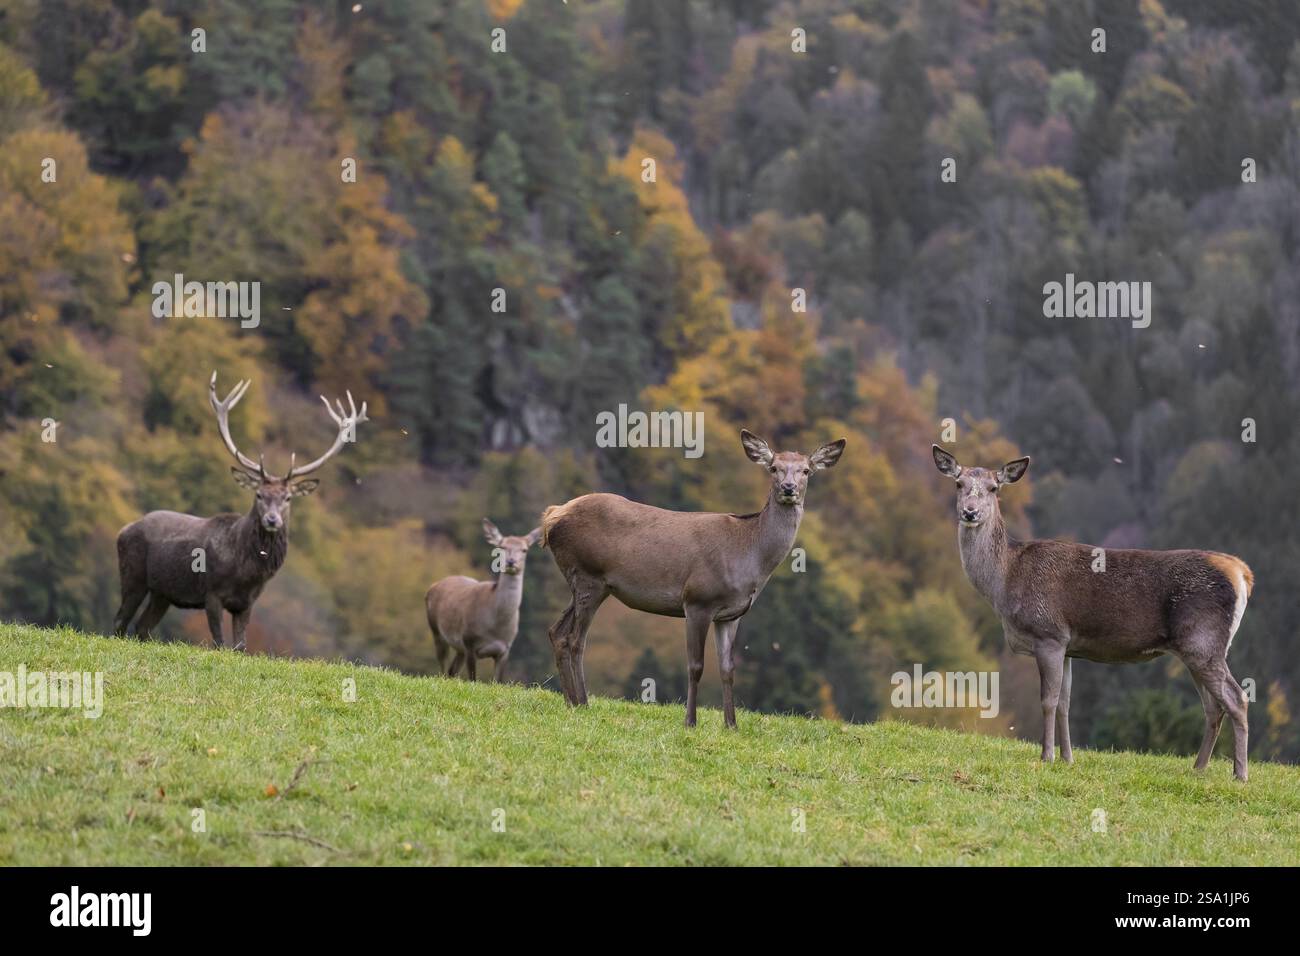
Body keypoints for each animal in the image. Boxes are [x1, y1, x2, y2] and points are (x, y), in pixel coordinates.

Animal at [113, 372, 368, 650]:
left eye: (288, 497)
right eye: (259, 494)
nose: (272, 519)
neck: (245, 573)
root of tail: (124, 529)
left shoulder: (247, 603)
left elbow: (241, 647)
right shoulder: (211, 592)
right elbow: (219, 643)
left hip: (163, 593)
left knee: (142, 626)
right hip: (133, 575)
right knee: (120, 621)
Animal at [425, 519, 542, 681]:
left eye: (524, 549)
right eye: (502, 546)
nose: (511, 562)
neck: (495, 628)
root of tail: (432, 586)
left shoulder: (505, 649)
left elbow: (497, 681)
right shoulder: (469, 641)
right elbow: (473, 678)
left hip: (459, 647)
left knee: (452, 670)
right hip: (436, 630)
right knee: (443, 665)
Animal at [541, 429, 846, 728]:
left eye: (806, 470)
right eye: (773, 468)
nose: (788, 488)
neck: (750, 557)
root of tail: (551, 516)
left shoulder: (731, 614)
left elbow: (727, 668)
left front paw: (731, 724)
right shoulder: (698, 600)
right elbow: (696, 666)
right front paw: (690, 721)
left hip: (589, 583)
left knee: (557, 631)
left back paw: (570, 702)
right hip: (589, 575)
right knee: (576, 639)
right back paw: (582, 703)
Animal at [931, 445, 1254, 780]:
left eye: (994, 488)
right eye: (959, 484)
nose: (970, 512)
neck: (1005, 581)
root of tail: (1242, 573)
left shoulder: (1048, 633)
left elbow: (1048, 700)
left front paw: (1046, 756)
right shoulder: (1068, 645)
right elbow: (1065, 703)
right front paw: (1068, 758)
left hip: (1203, 641)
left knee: (1237, 698)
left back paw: (1240, 774)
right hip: (1196, 649)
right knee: (1213, 706)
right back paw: (1199, 768)